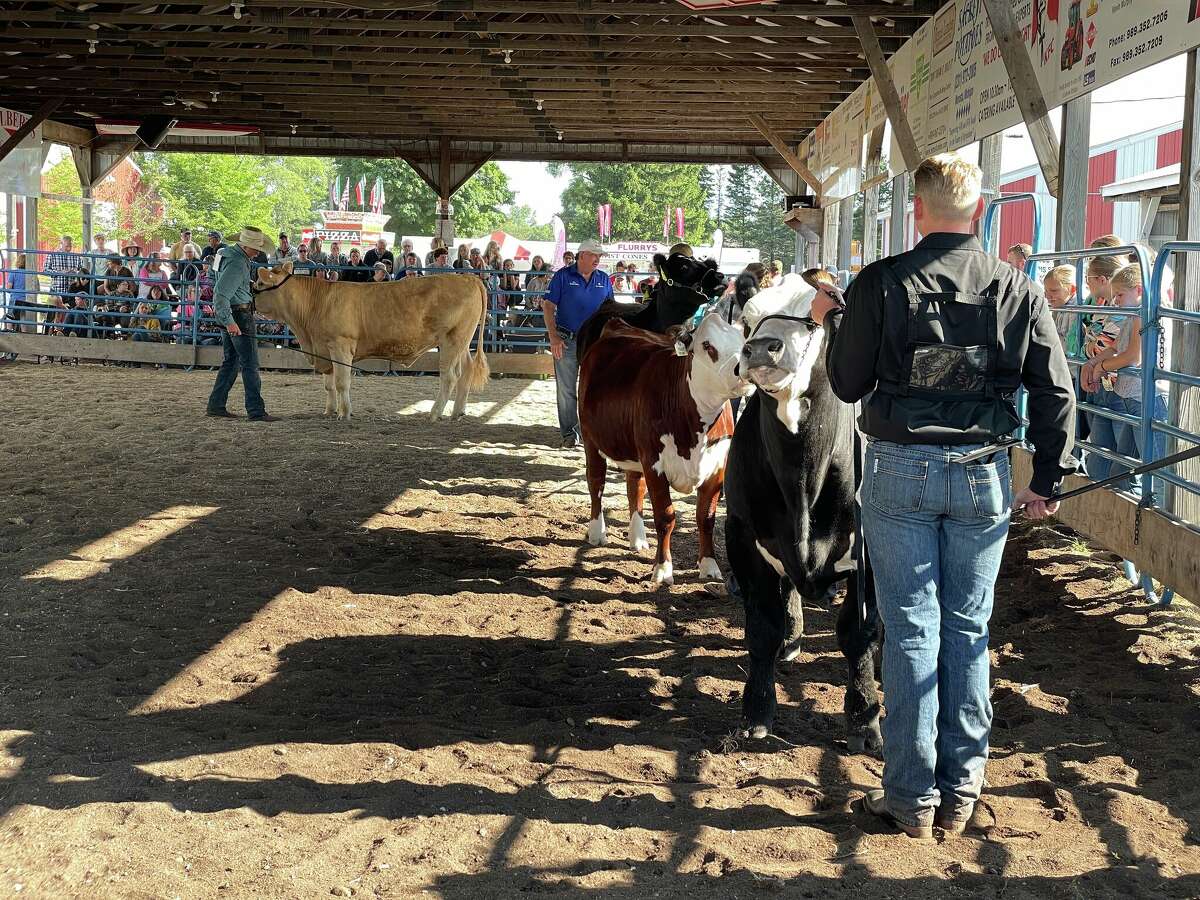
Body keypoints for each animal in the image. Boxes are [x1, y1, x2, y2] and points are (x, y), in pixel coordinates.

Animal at [251, 261, 488, 422]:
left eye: (260, 283)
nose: (249, 298)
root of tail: (470, 278)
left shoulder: (340, 344)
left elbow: (341, 382)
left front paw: (344, 413)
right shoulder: (324, 347)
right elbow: (329, 384)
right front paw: (329, 411)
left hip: (451, 340)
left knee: (449, 377)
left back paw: (434, 413)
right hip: (462, 342)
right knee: (465, 372)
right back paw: (458, 412)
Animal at [578, 294, 754, 587]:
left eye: (744, 344)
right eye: (707, 345)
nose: (742, 370)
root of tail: (618, 324)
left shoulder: (717, 467)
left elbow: (706, 517)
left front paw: (709, 566)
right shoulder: (654, 462)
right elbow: (665, 516)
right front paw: (662, 569)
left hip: (633, 450)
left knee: (633, 487)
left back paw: (637, 538)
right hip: (591, 438)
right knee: (596, 483)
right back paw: (596, 532)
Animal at [724, 273, 883, 752]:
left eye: (817, 318)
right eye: (749, 318)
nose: (761, 348)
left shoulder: (874, 553)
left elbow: (858, 634)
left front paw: (864, 719)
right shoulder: (743, 537)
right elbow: (762, 628)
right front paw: (756, 713)